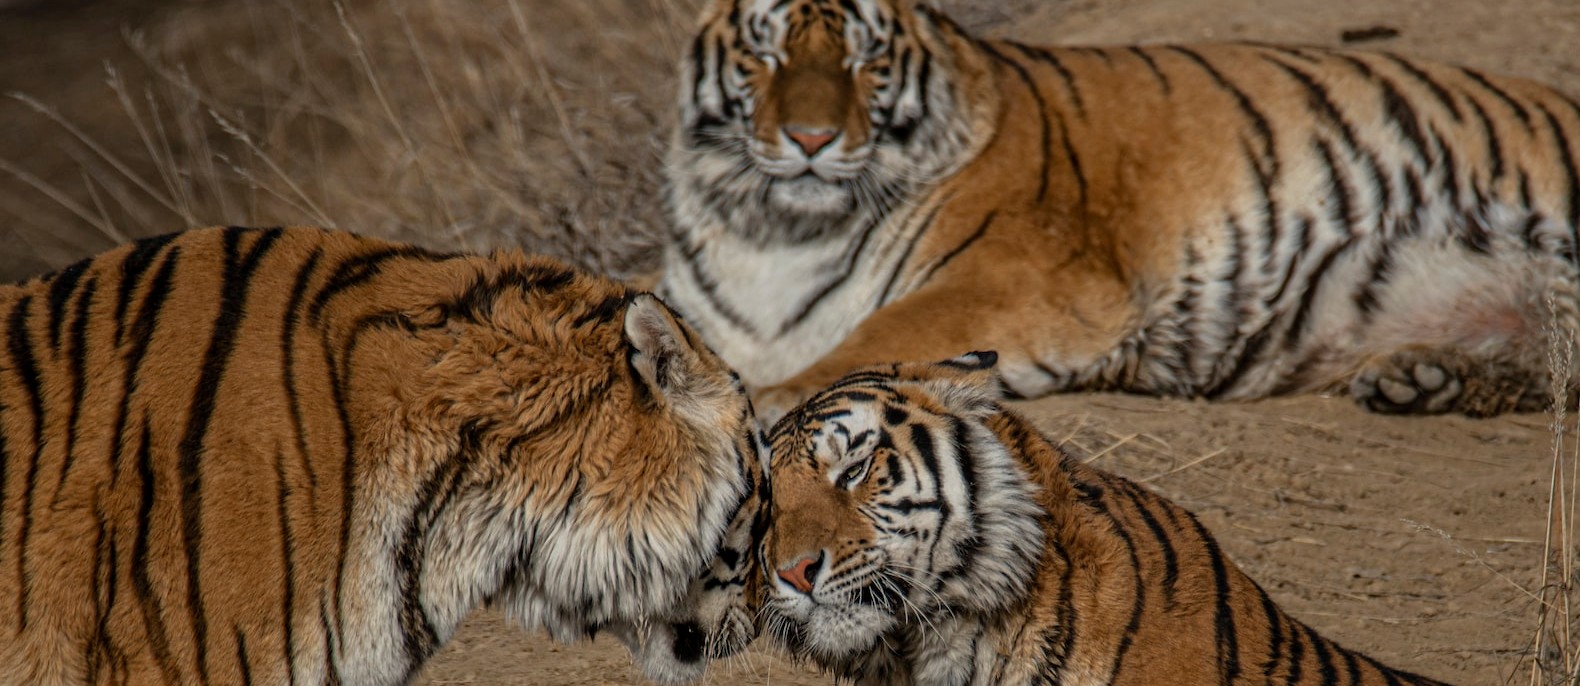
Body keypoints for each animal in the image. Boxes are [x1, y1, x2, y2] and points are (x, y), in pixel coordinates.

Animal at [660, 0, 1580, 419]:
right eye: (765, 52)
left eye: (864, 58)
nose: (811, 139)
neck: (771, 229)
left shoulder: (1019, 278)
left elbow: (880, 333)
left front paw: (771, 397)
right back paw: (1420, 378)